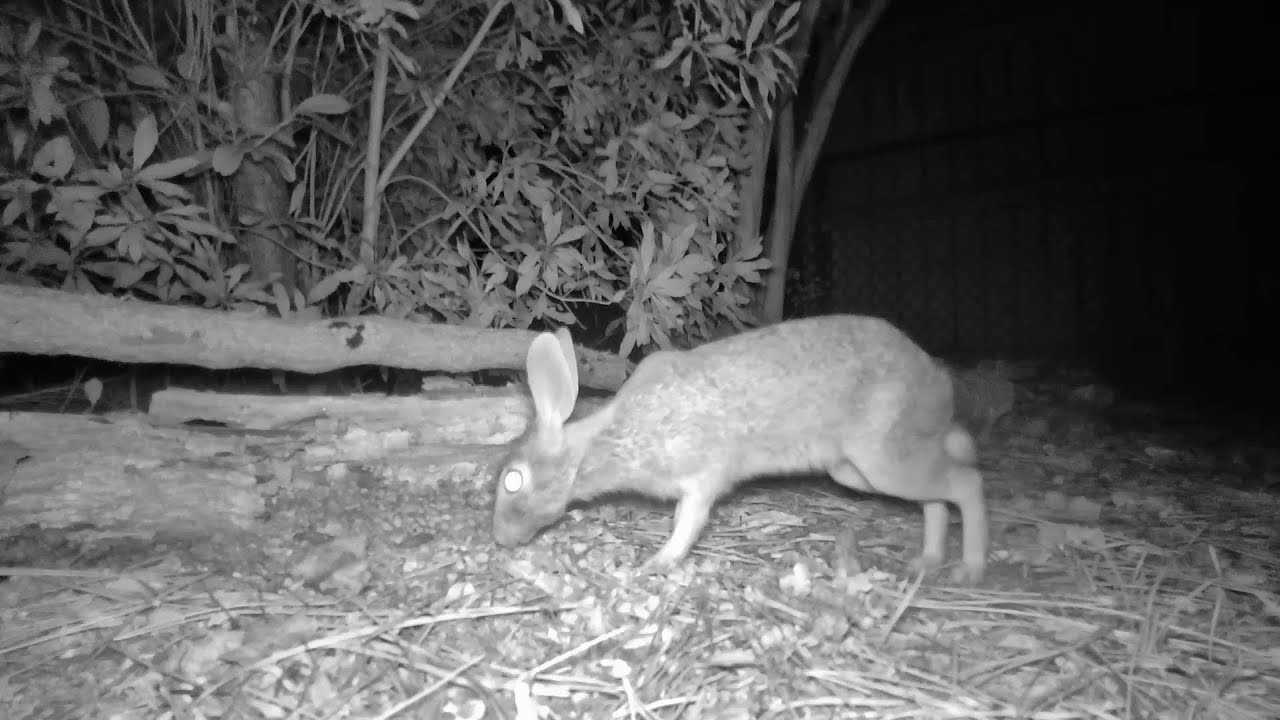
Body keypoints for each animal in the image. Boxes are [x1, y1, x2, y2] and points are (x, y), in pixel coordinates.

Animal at [491, 314, 989, 584]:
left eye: (513, 480)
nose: (501, 539)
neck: (602, 442)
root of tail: (936, 379)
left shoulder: (702, 477)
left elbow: (689, 522)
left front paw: (658, 562)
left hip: (881, 458)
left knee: (966, 482)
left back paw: (969, 568)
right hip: (856, 470)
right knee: (935, 498)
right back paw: (927, 560)